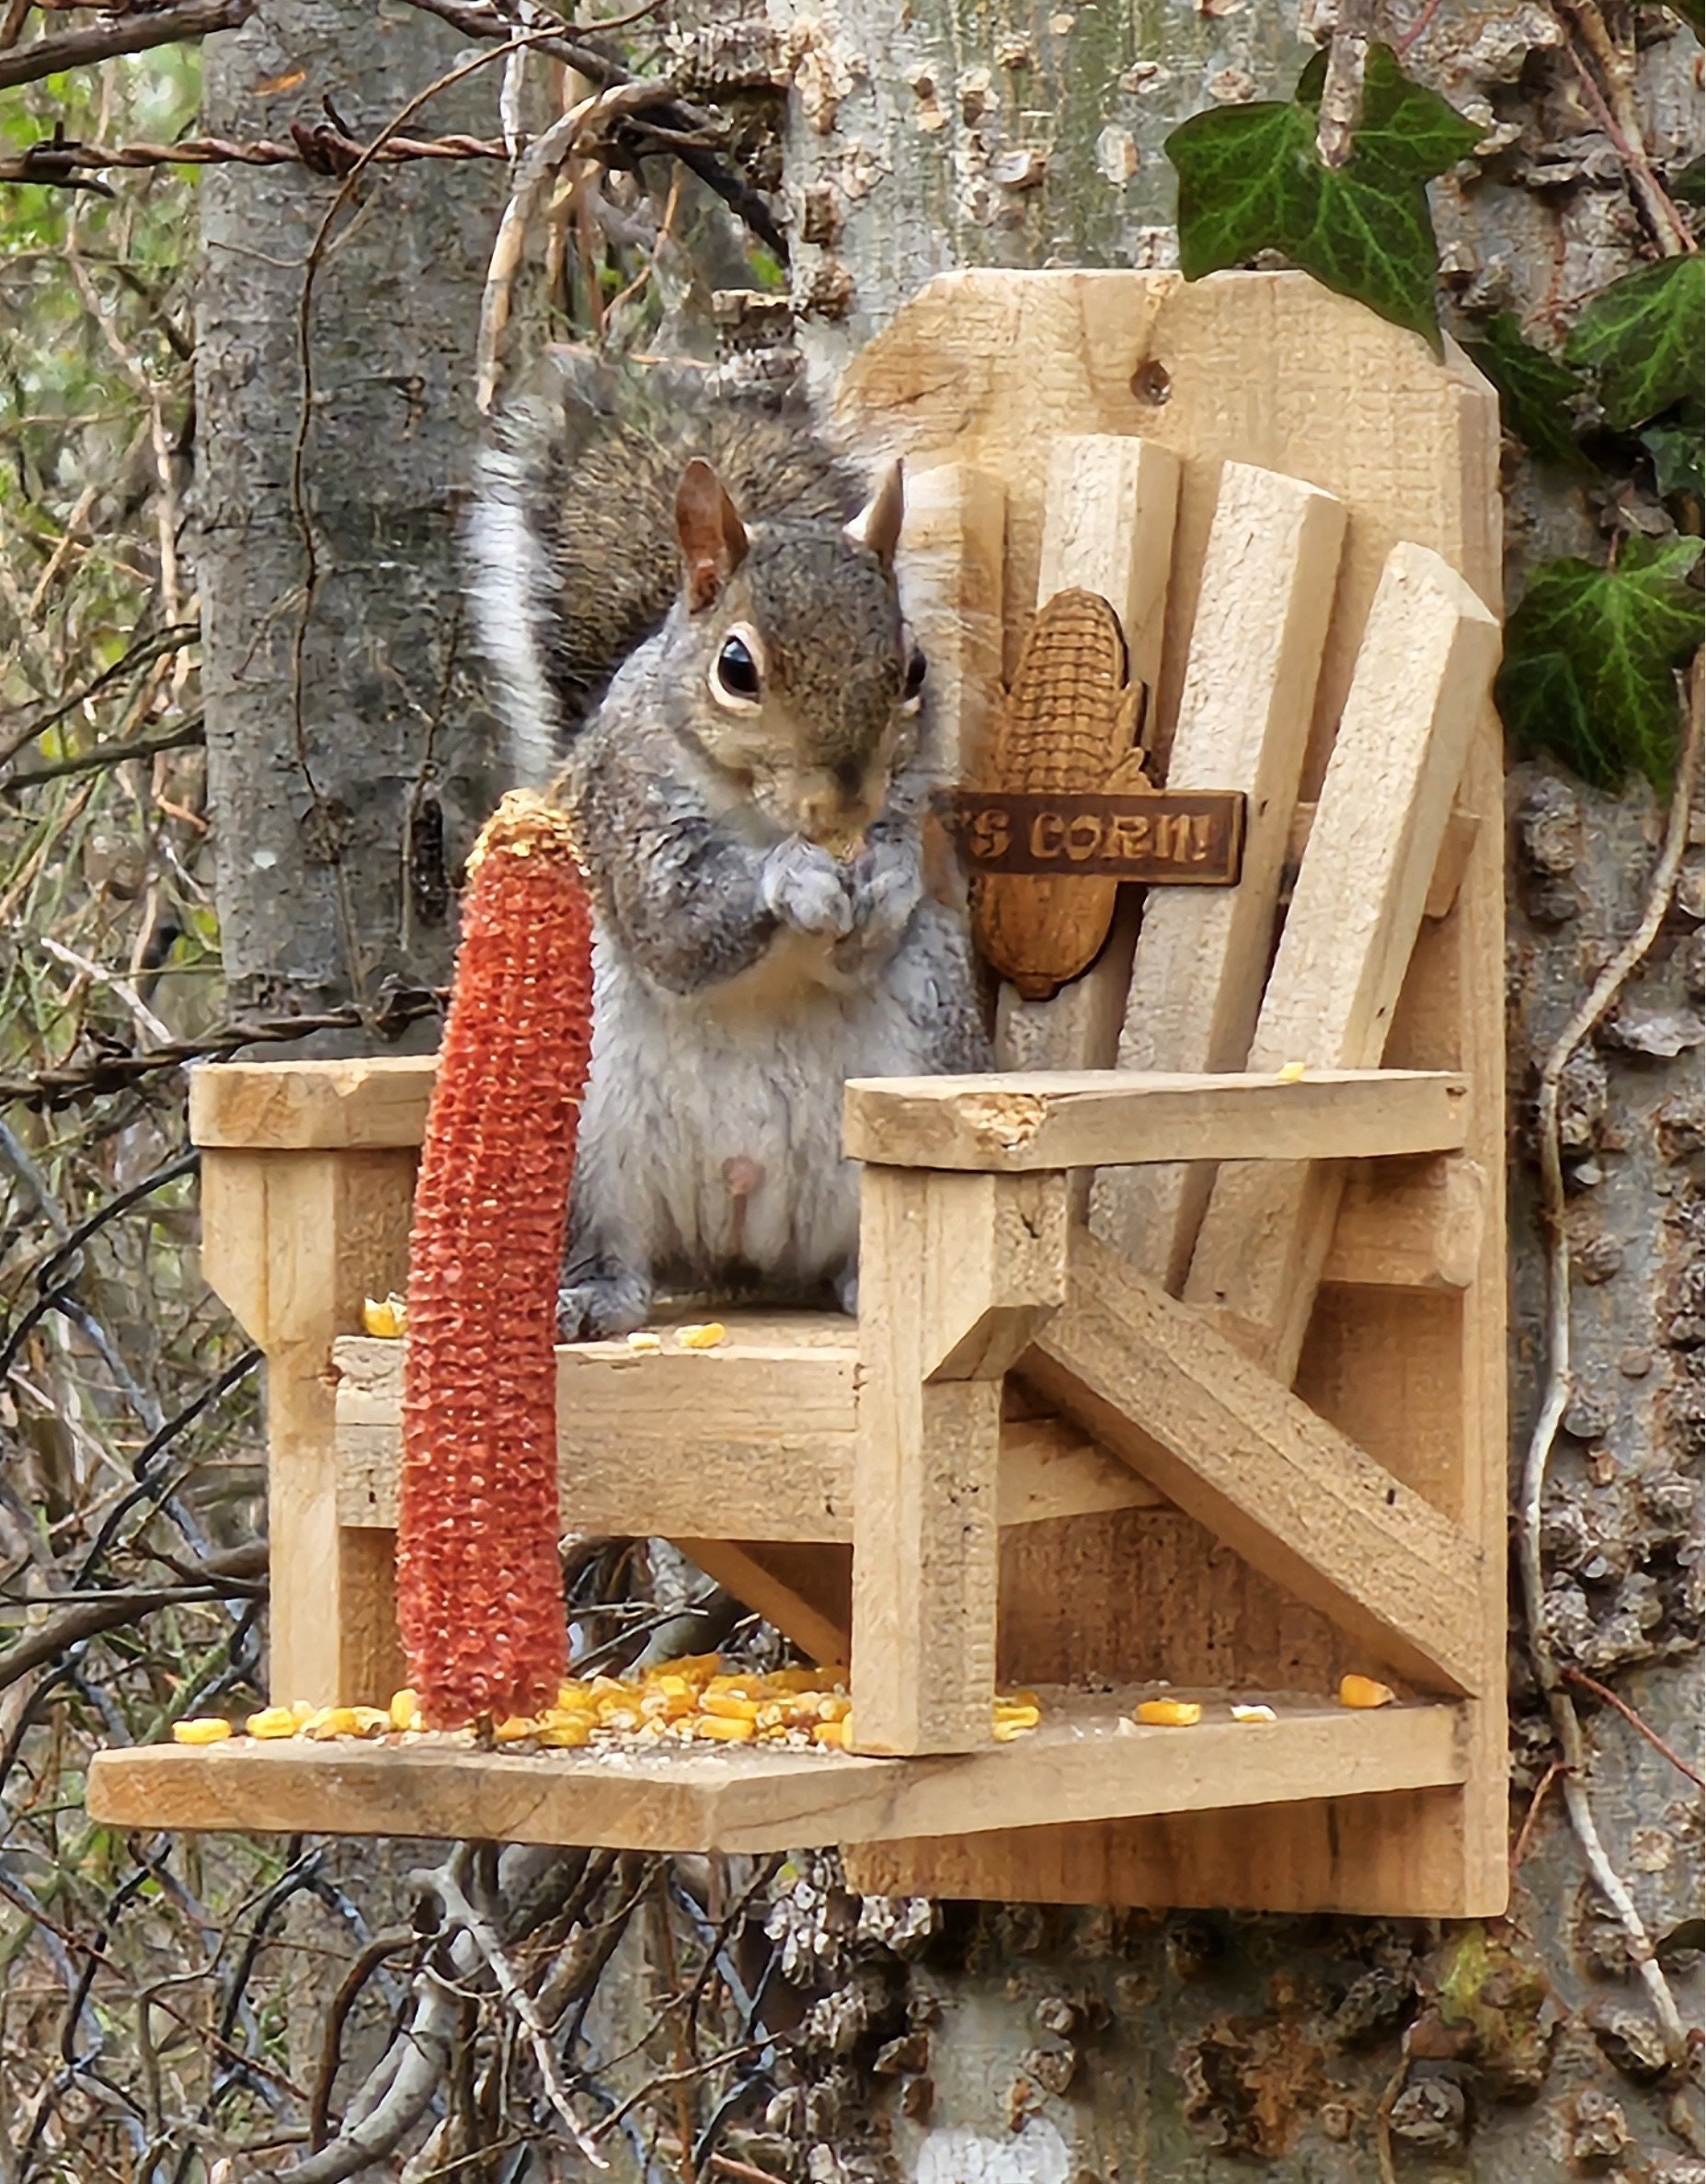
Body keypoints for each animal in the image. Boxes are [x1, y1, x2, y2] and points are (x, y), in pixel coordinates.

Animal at [468, 348, 991, 1338]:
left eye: (912, 668)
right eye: (736, 667)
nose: (847, 795)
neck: (762, 812)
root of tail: (737, 1231)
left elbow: (873, 928)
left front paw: (888, 878)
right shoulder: (629, 812)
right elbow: (676, 926)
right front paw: (792, 877)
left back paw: (872, 1284)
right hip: (580, 1136)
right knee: (605, 1241)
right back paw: (589, 1293)